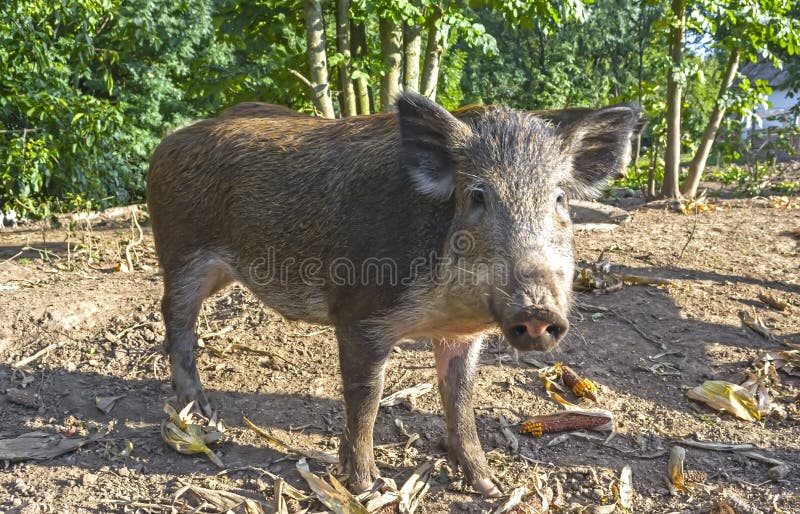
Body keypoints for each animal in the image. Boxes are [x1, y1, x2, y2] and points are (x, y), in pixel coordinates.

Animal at [146, 93, 640, 497]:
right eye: (477, 195)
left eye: (560, 199)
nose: (537, 311)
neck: (449, 310)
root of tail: (165, 147)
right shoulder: (359, 315)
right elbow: (366, 397)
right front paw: (365, 486)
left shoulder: (464, 336)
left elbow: (460, 399)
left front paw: (489, 486)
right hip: (181, 253)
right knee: (174, 316)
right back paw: (200, 409)